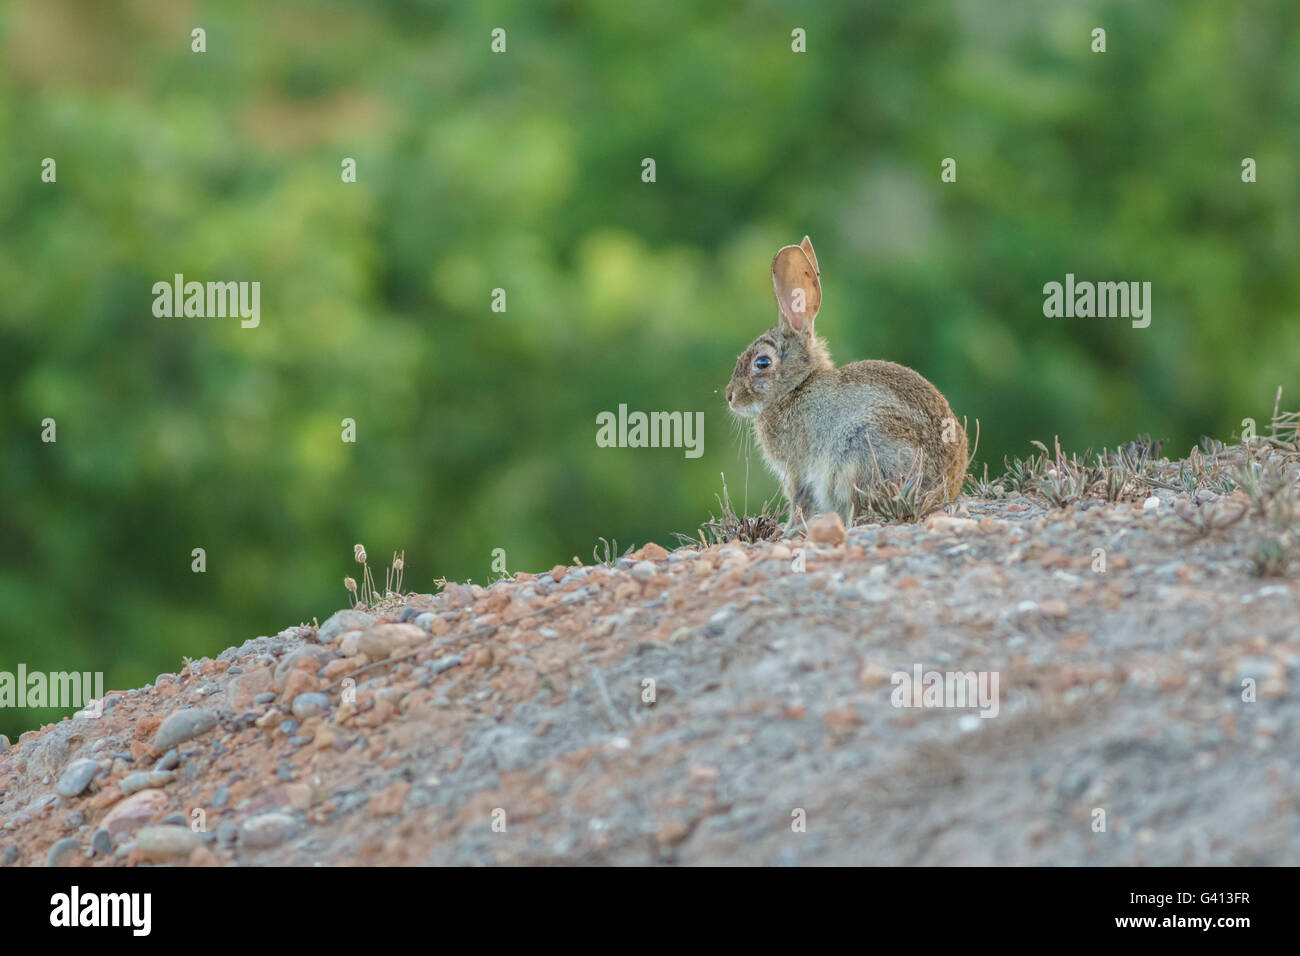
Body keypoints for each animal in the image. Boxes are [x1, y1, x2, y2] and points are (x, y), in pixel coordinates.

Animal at [725, 236, 968, 534]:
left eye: (761, 363)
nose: (730, 396)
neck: (796, 388)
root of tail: (944, 488)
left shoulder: (799, 470)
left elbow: (799, 500)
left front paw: (789, 531)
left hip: (861, 449)